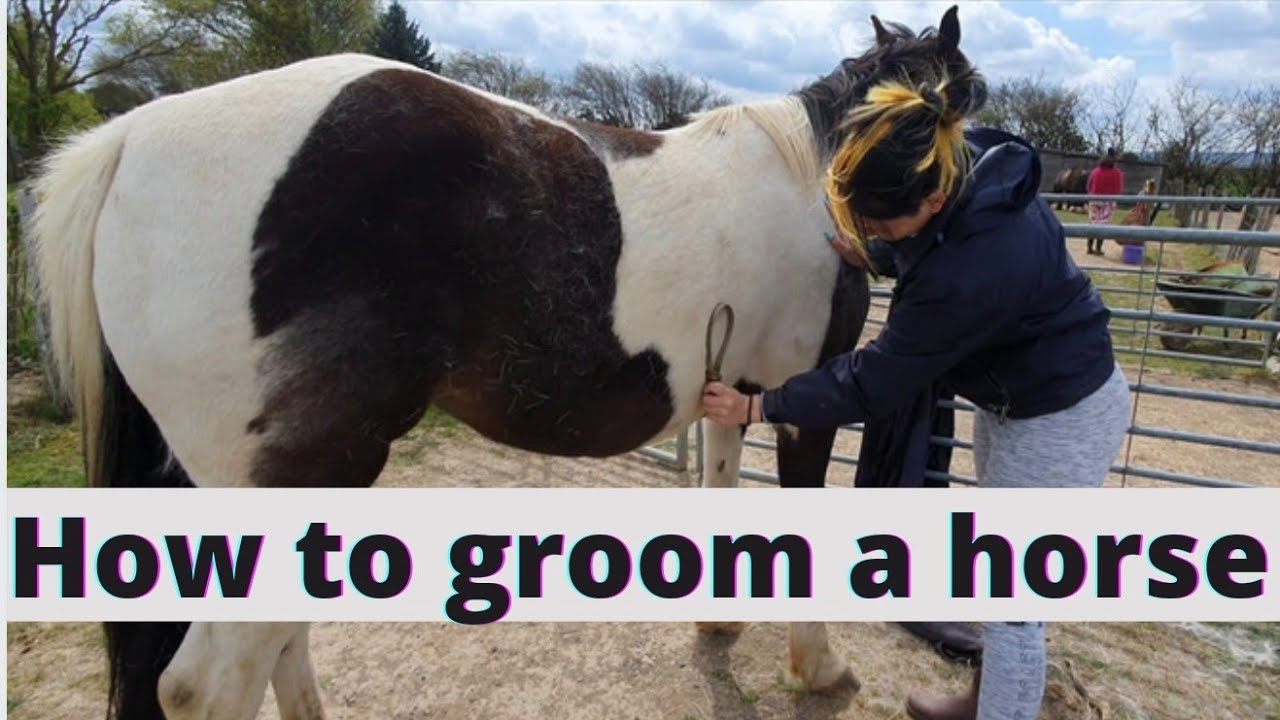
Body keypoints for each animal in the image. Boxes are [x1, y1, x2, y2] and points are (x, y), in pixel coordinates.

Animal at [32, 7, 978, 720]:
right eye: (961, 106)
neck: (813, 178)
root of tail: (131, 138)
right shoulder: (799, 399)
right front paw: (818, 669)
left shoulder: (736, 389)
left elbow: (722, 497)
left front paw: (718, 628)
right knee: (206, 684)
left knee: (275, 641)